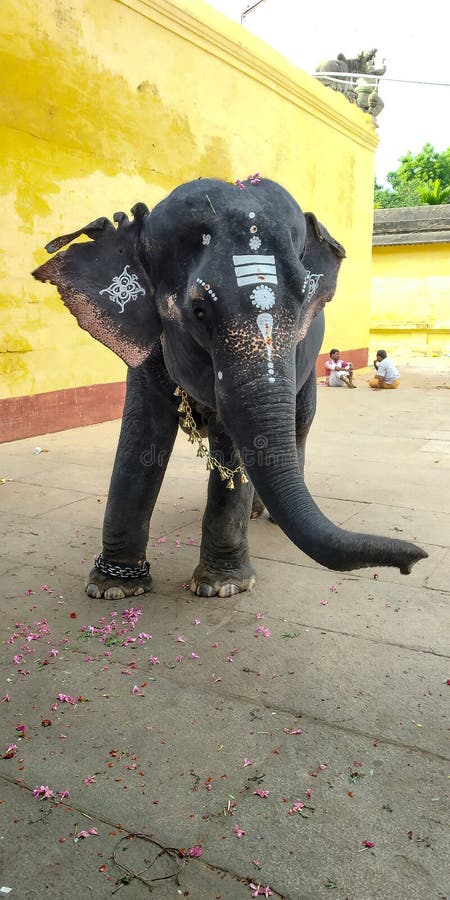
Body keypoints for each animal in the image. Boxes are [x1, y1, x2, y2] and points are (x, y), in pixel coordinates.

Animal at [32, 176, 427, 600]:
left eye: (303, 305)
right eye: (199, 311)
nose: (413, 563)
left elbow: (231, 440)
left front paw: (220, 587)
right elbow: (141, 436)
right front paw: (112, 588)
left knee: (300, 425)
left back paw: (269, 519)